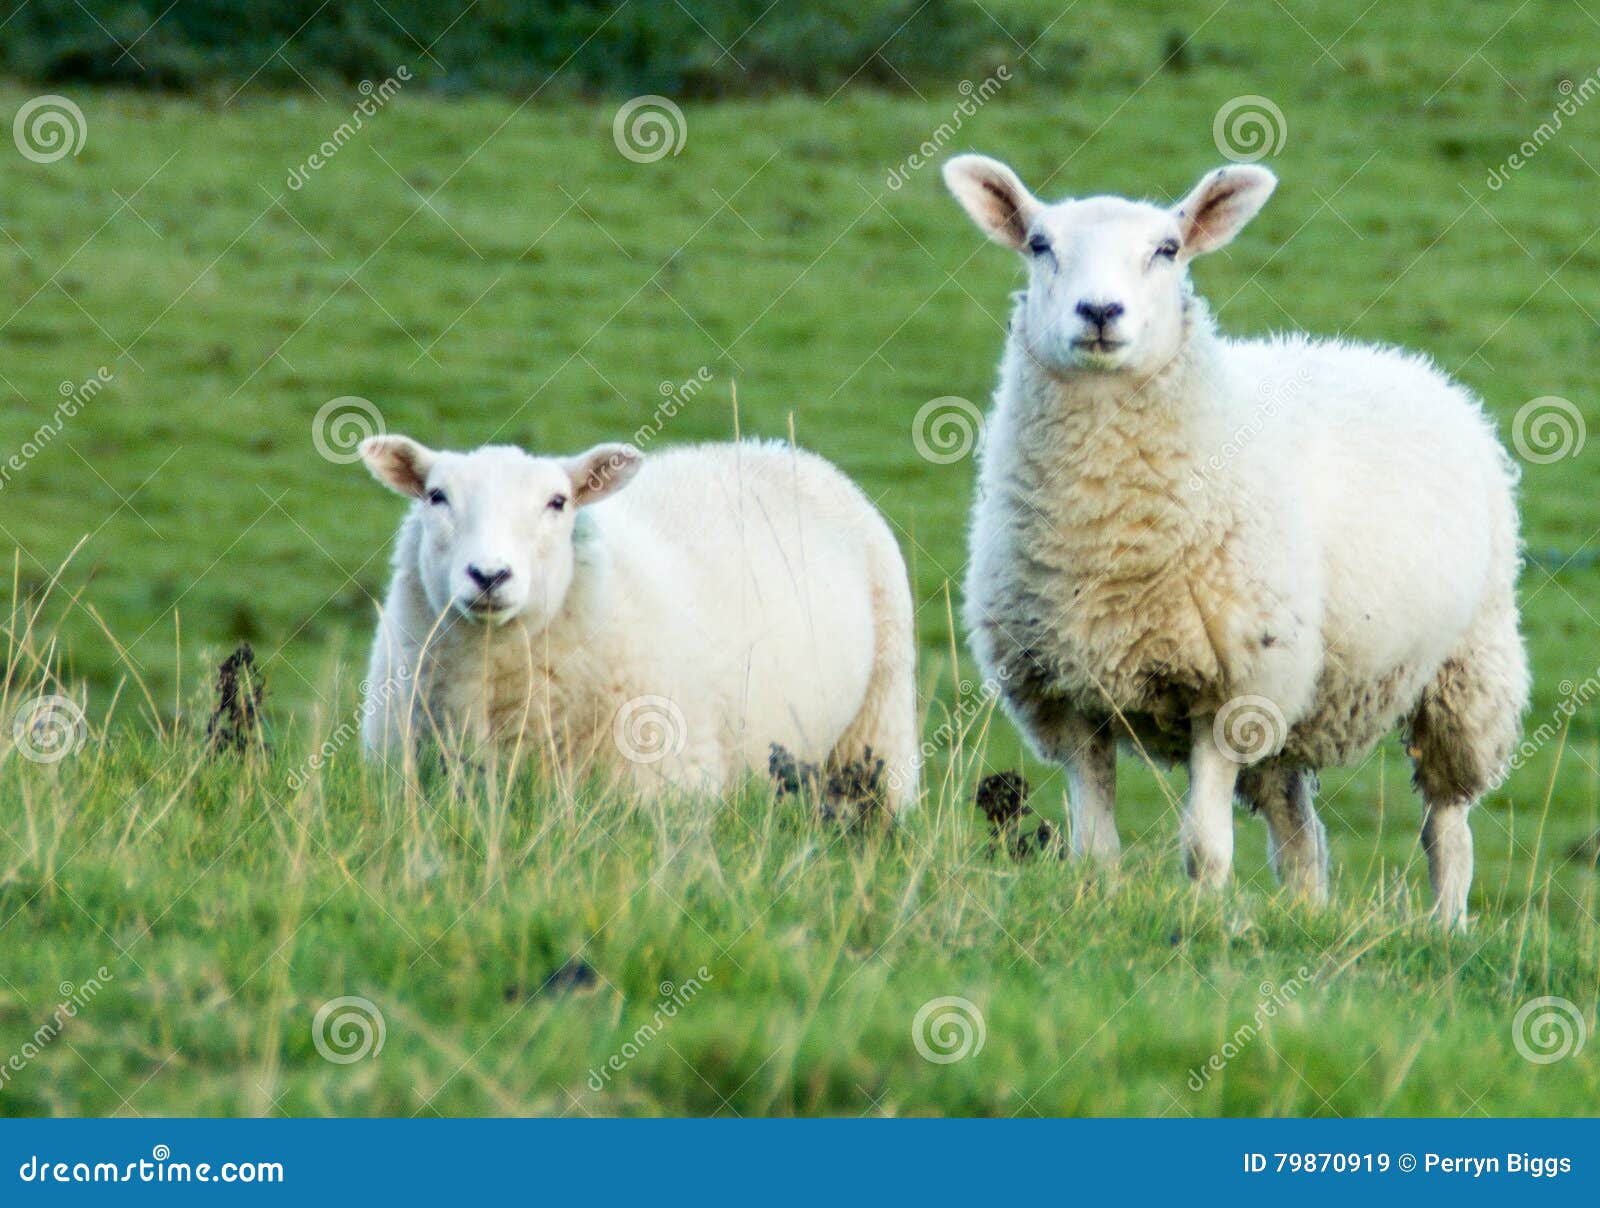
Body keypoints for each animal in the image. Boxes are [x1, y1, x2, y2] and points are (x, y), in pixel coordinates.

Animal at [942, 152, 1529, 926]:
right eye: (1040, 245)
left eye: (1166, 249)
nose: (1099, 313)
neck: (1106, 541)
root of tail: (1406, 364)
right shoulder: (1067, 697)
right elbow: (1094, 847)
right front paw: (1102, 903)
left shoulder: (1234, 691)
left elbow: (1204, 847)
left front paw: (1202, 914)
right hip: (1301, 693)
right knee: (1299, 830)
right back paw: (1307, 911)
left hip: (1466, 668)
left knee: (1447, 824)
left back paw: (1446, 924)